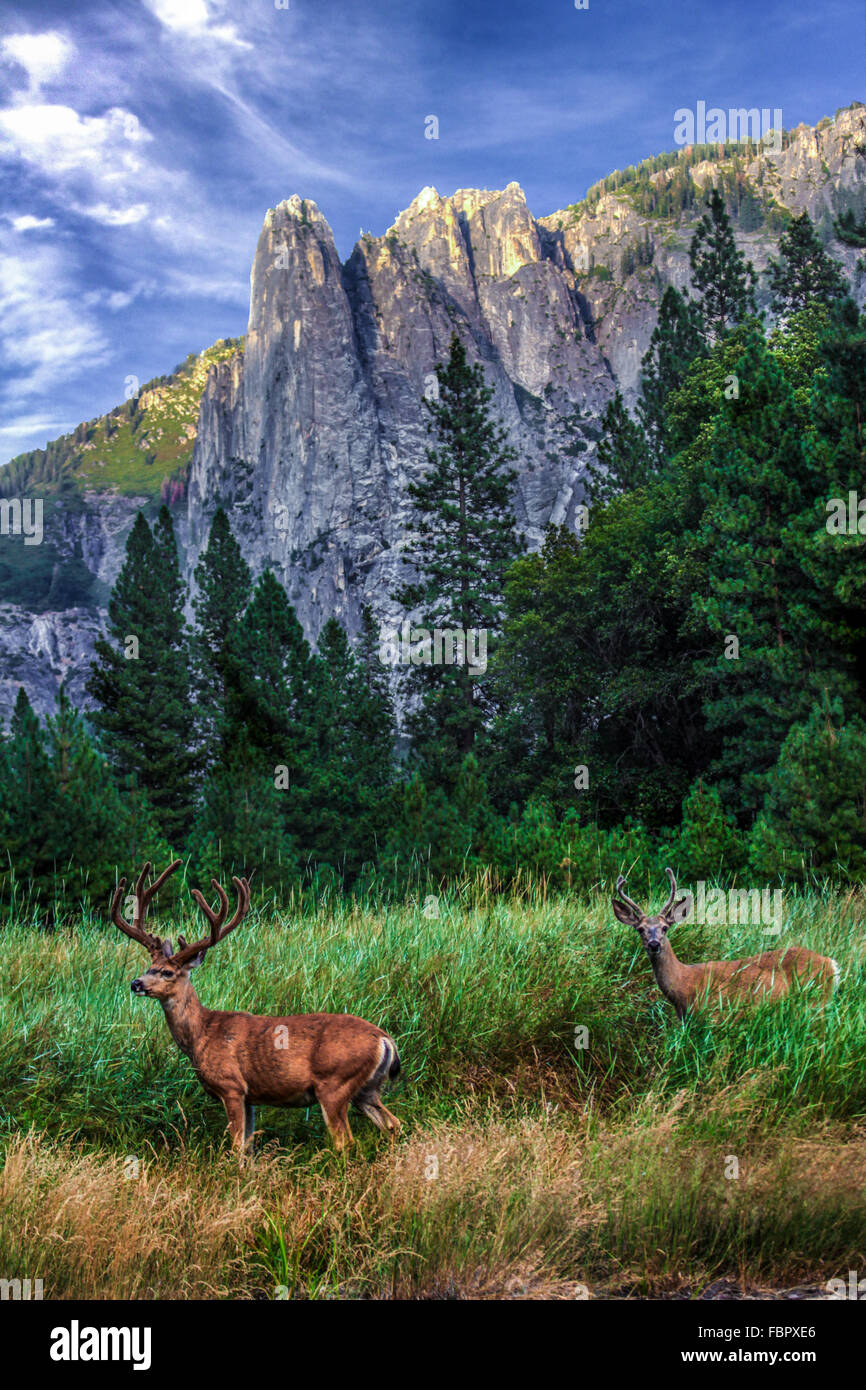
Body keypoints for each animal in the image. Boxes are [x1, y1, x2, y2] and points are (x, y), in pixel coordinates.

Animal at [111, 860, 401, 1155]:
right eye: (149, 967)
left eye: (167, 972)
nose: (136, 983)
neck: (201, 1034)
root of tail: (385, 1039)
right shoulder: (250, 1096)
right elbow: (248, 1146)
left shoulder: (232, 1086)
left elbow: (237, 1145)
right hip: (366, 1089)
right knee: (393, 1124)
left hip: (334, 1083)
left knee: (346, 1140)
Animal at [612, 868, 840, 1019]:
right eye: (640, 929)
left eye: (665, 928)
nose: (653, 944)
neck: (684, 986)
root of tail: (831, 963)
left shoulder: (715, 1016)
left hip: (816, 1001)